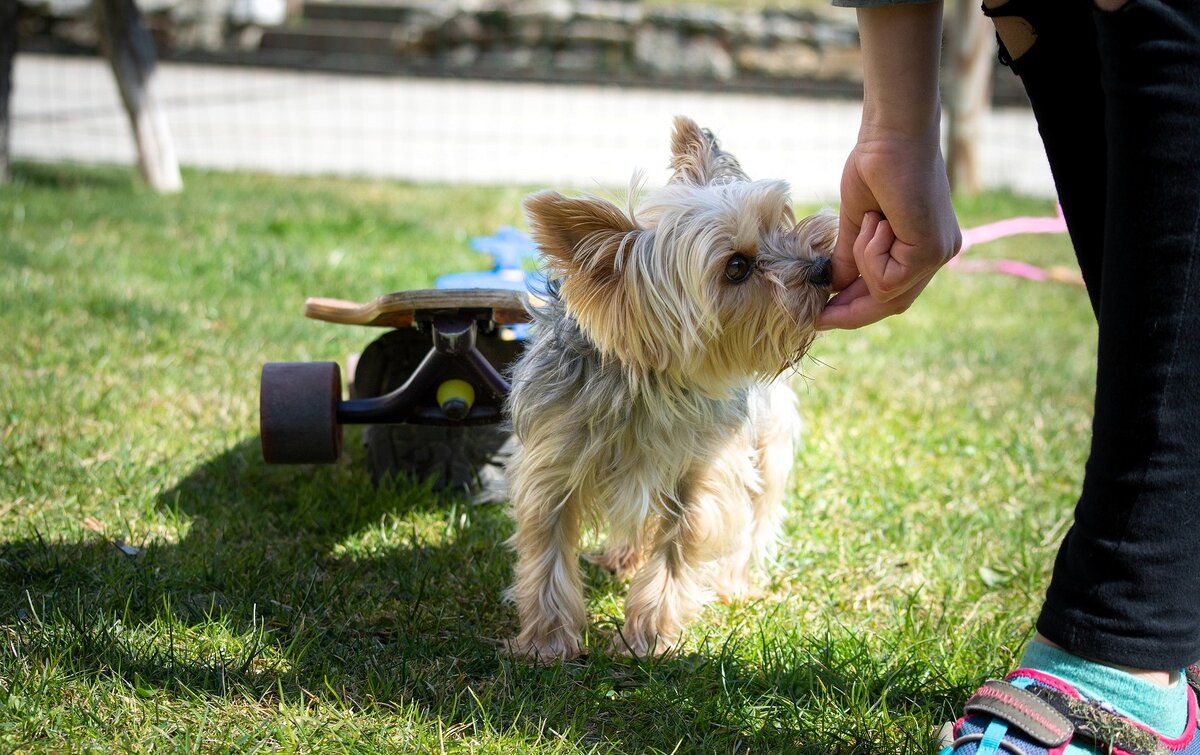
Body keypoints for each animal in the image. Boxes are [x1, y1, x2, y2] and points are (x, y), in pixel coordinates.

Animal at [504, 113, 835, 657]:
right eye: (736, 267)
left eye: (779, 223)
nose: (825, 267)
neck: (650, 385)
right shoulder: (552, 465)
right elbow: (547, 551)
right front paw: (546, 641)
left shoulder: (703, 474)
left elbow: (680, 546)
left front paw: (648, 635)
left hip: (769, 441)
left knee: (757, 513)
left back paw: (733, 583)